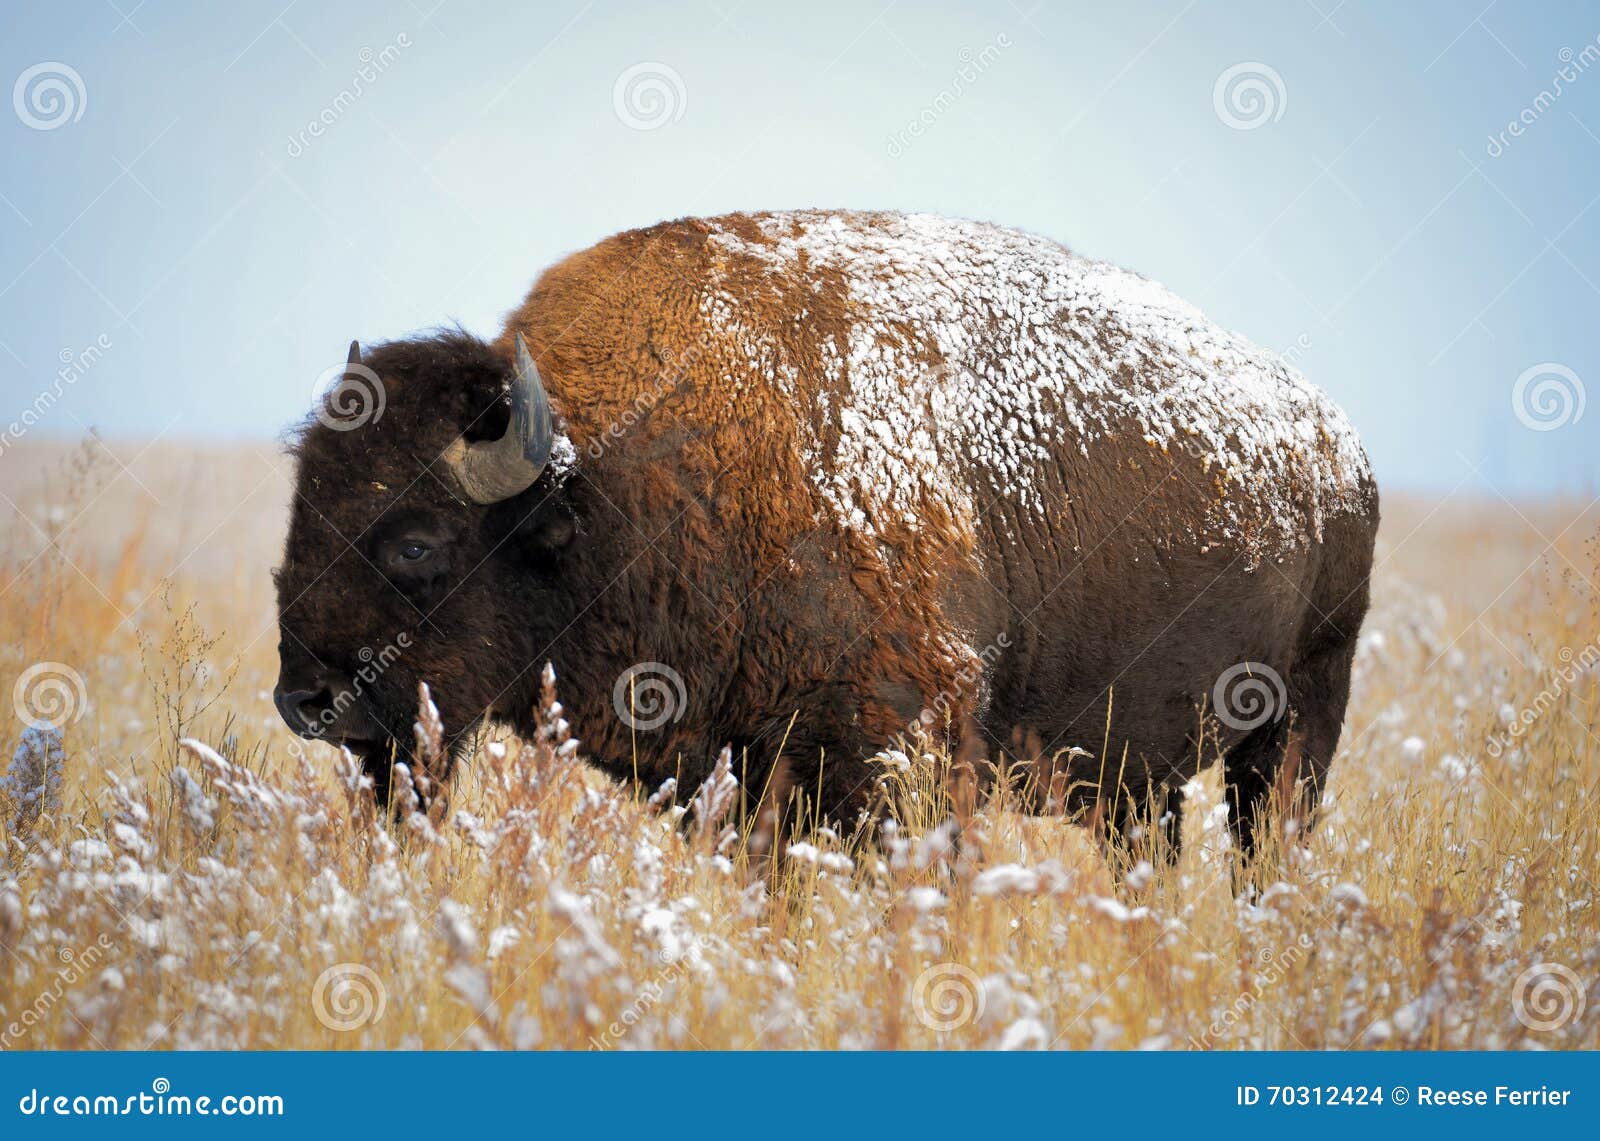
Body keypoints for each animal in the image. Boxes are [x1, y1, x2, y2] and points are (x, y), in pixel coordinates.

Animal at [273, 210, 1377, 857]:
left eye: (417, 541)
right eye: (301, 510)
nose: (305, 698)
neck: (611, 481)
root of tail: (1334, 442)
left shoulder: (903, 746)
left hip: (1297, 722)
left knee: (1267, 840)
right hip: (1143, 778)